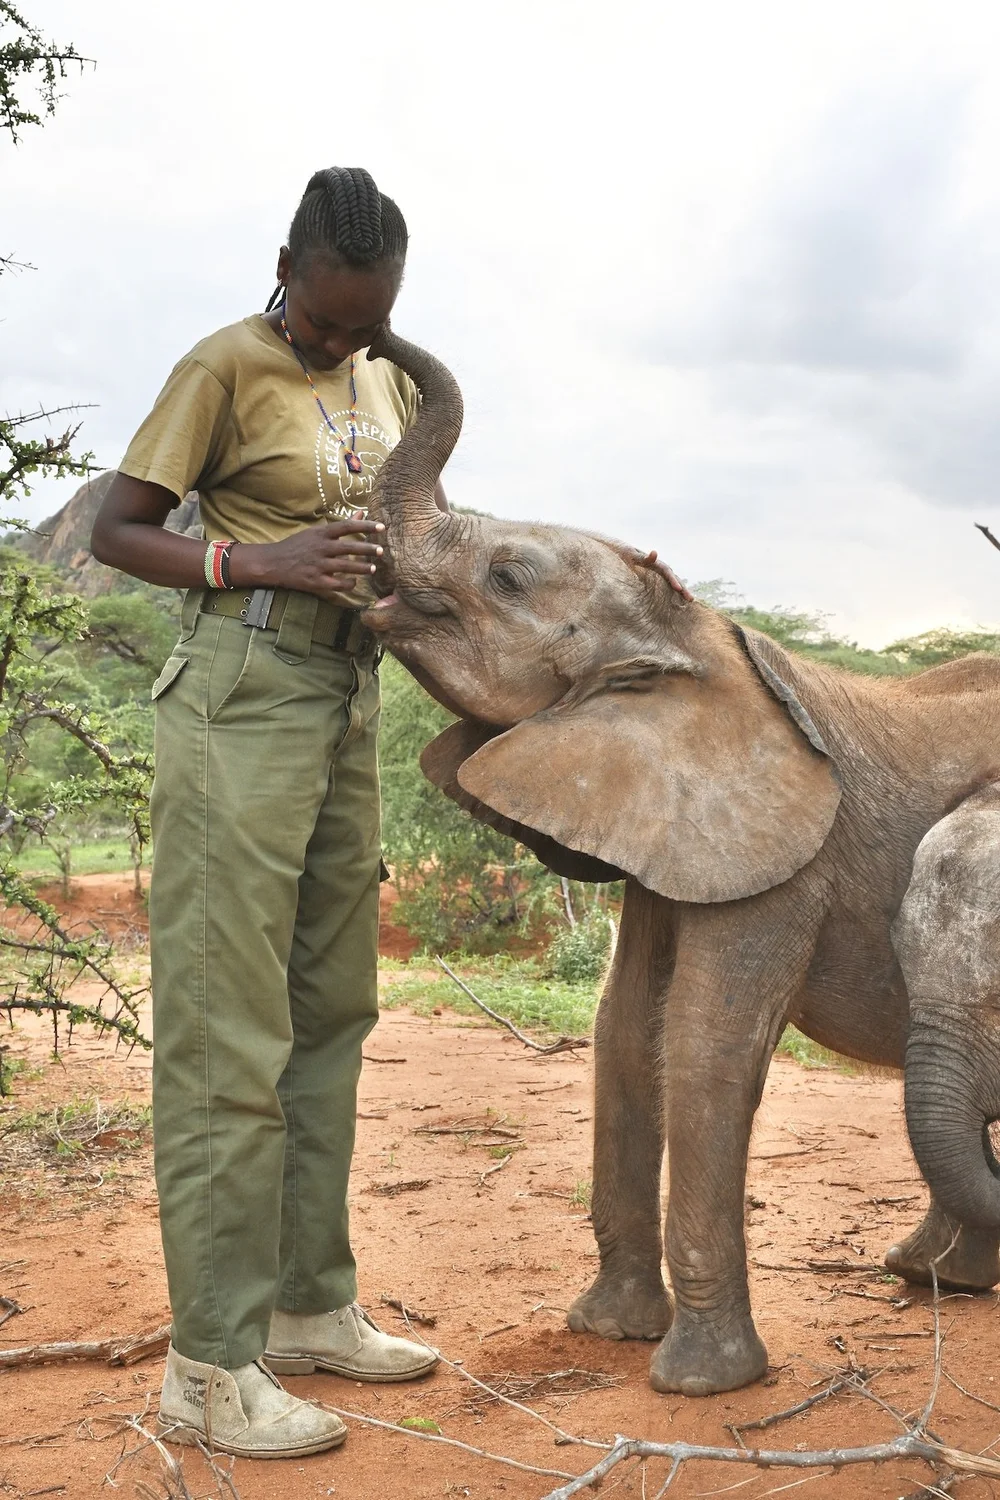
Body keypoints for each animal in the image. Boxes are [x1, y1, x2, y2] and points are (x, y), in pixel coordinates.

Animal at [357, 327, 1000, 1397]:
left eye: (507, 578)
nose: (371, 330)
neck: (692, 636)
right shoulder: (665, 821)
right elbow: (625, 1034)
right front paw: (606, 1332)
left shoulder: (785, 857)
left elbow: (705, 1046)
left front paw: (700, 1384)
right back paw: (932, 1280)